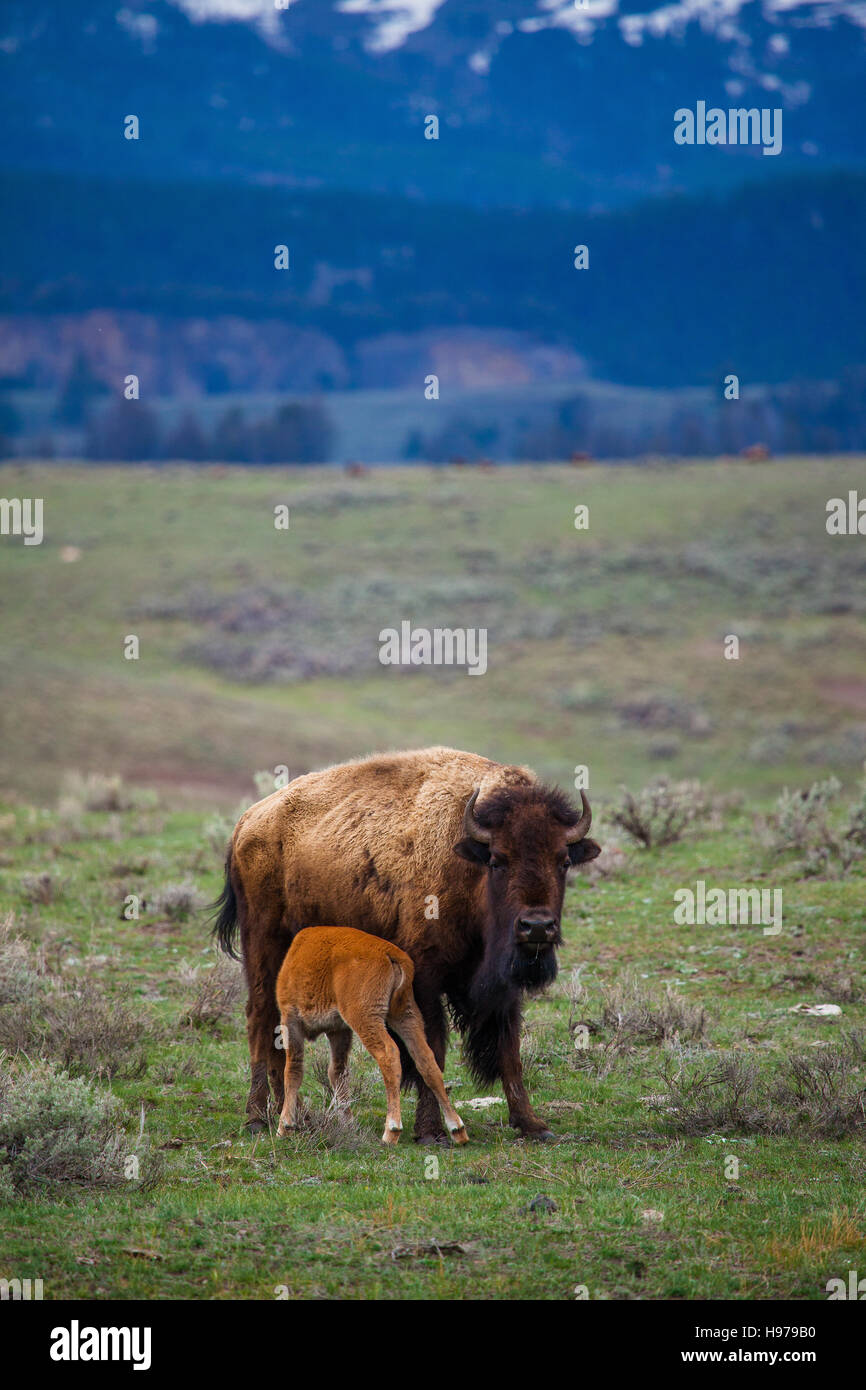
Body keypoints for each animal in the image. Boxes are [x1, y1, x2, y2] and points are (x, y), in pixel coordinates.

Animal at [214, 746, 600, 1141]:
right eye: (497, 860)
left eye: (563, 860)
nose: (536, 927)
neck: (465, 863)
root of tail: (246, 824)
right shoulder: (424, 978)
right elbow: (432, 1049)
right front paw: (430, 1130)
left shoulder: (503, 986)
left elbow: (510, 1051)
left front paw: (532, 1124)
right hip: (264, 946)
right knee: (260, 1018)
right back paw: (257, 1118)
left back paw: (291, 1115)